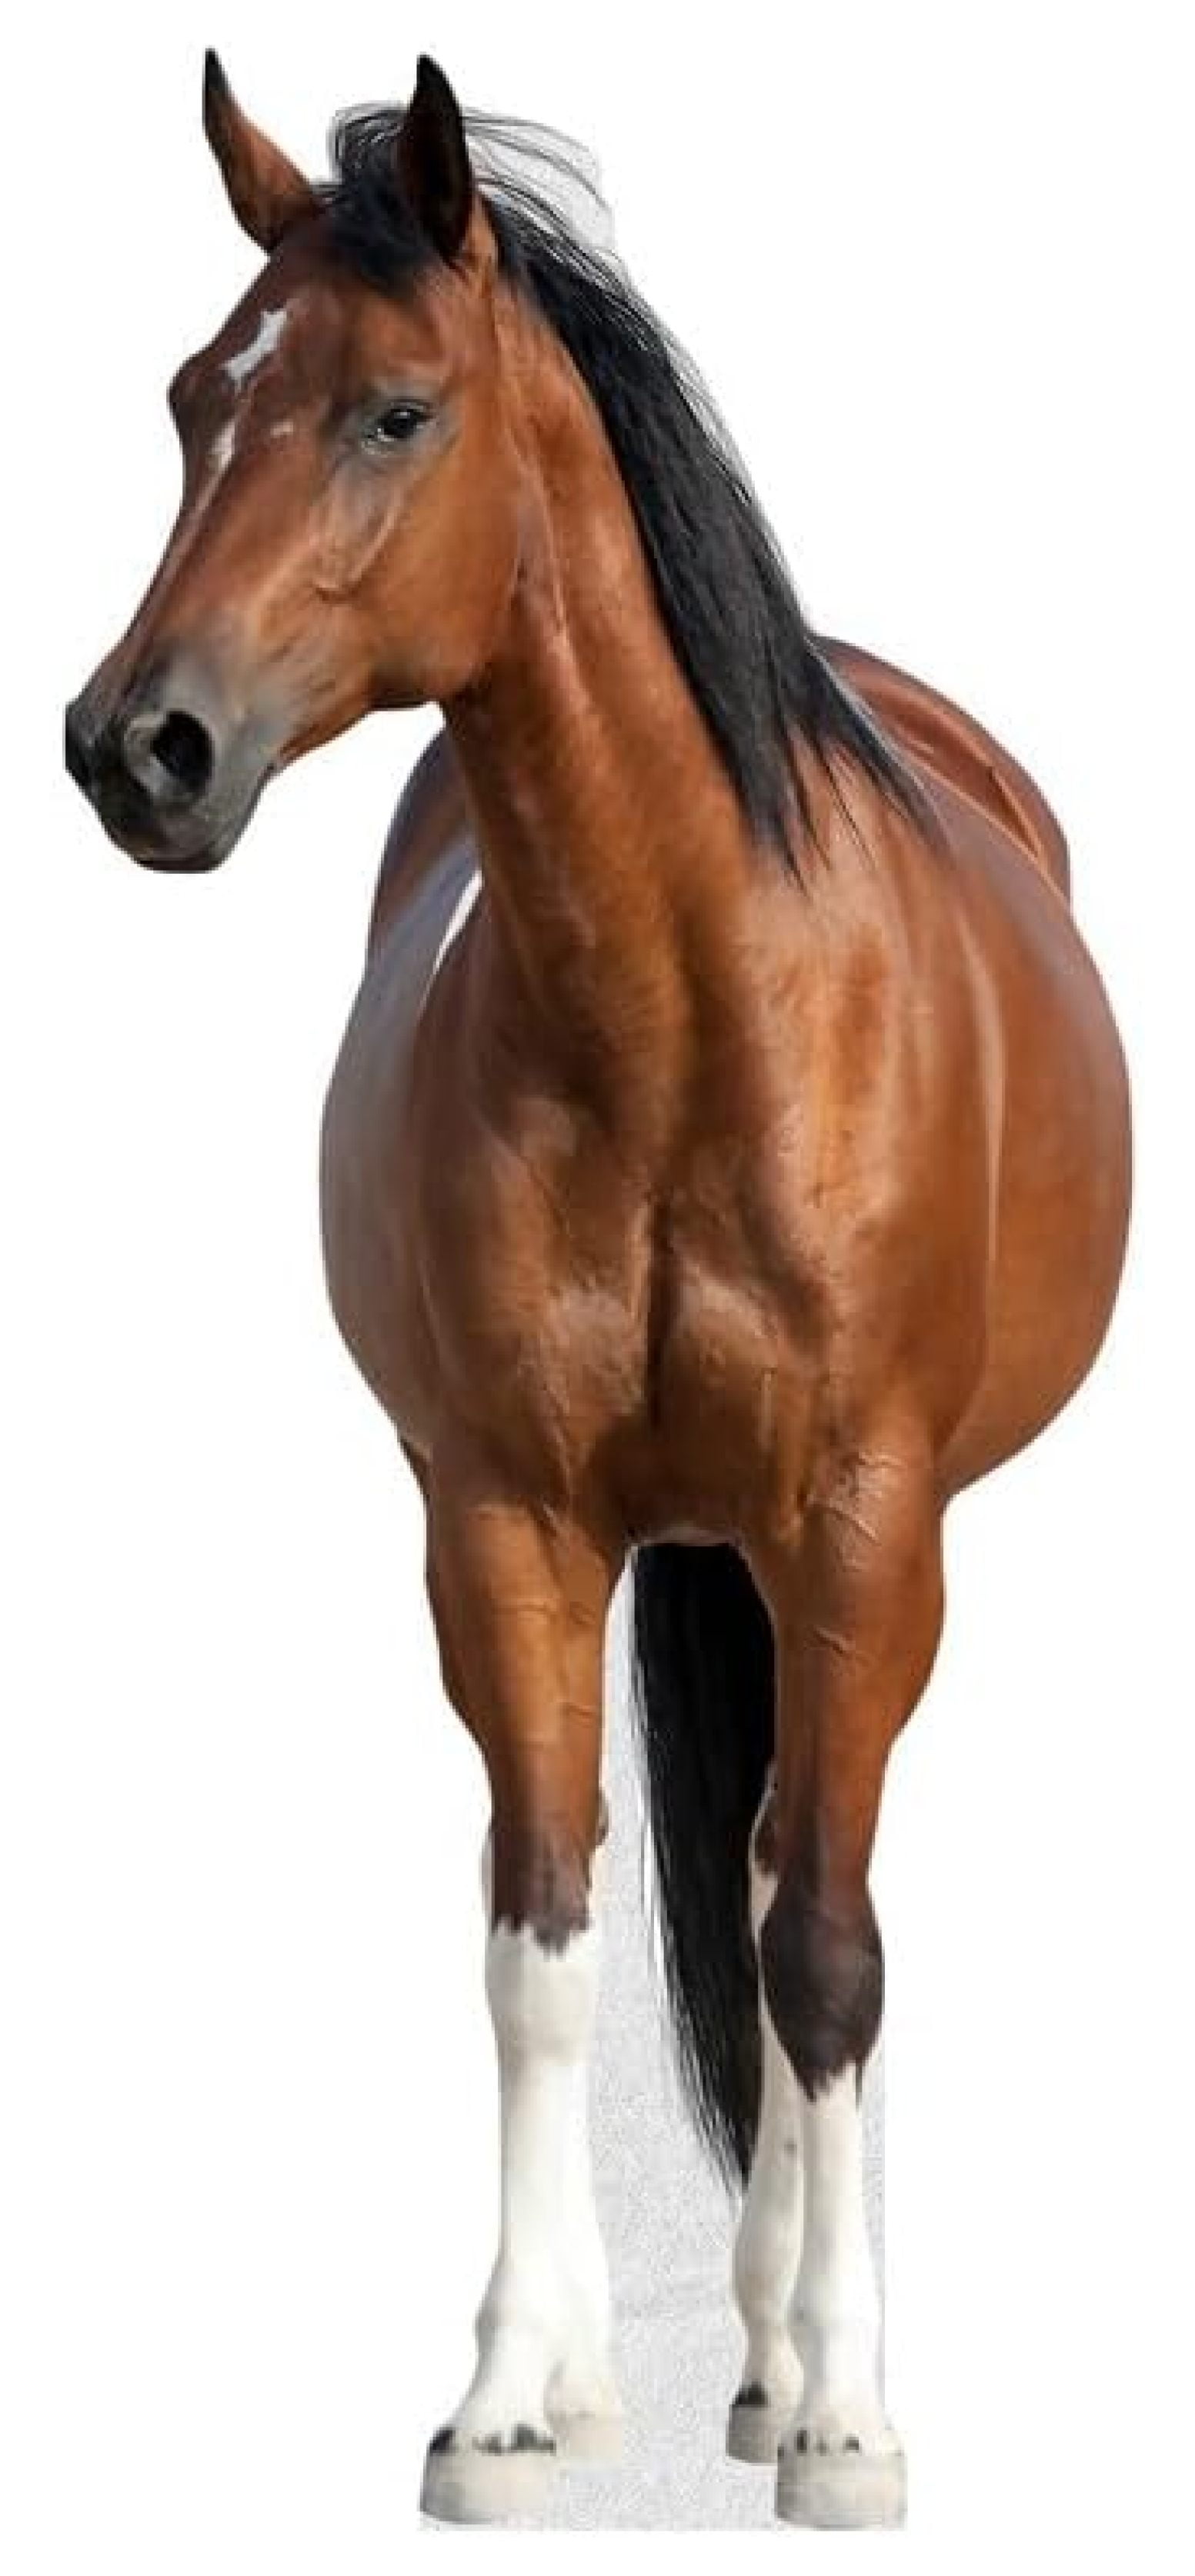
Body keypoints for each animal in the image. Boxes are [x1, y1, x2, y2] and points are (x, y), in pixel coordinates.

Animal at [63, 52, 1132, 2530]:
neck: (686, 1010)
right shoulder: (506, 1526)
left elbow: (821, 1948)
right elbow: (540, 1942)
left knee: (783, 1900)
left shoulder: (863, 1525)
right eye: (194, 396)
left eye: (396, 411)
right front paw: (508, 2397)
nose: (134, 746)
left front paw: (843, 2416)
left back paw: (787, 2354)